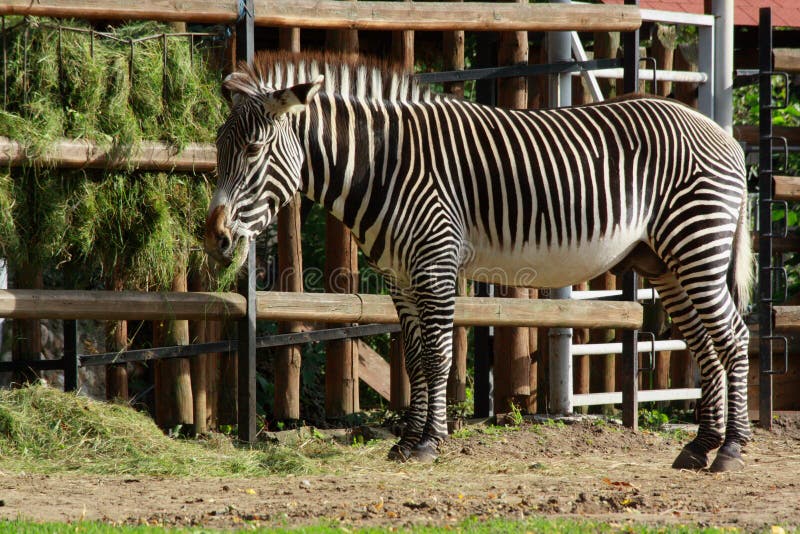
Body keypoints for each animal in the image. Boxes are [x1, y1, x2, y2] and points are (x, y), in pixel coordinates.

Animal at [205, 51, 753, 472]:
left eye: (253, 150)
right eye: (217, 148)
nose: (215, 237)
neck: (383, 166)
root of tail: (719, 130)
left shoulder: (434, 262)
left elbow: (437, 355)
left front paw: (429, 442)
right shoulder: (401, 277)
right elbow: (413, 358)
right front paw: (407, 441)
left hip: (697, 244)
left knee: (733, 337)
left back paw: (731, 449)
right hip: (665, 262)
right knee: (705, 345)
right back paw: (699, 448)